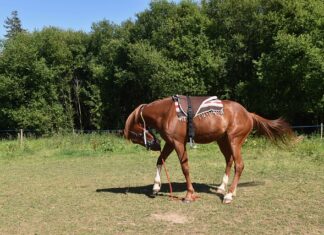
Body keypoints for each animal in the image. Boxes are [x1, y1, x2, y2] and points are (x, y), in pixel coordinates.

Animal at [123, 95, 294, 204]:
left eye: (135, 135)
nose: (155, 145)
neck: (167, 113)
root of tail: (248, 114)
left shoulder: (178, 143)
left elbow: (185, 168)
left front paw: (189, 195)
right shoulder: (170, 143)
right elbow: (160, 160)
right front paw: (156, 186)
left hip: (234, 141)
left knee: (239, 165)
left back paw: (229, 195)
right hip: (223, 141)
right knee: (229, 161)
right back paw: (223, 188)